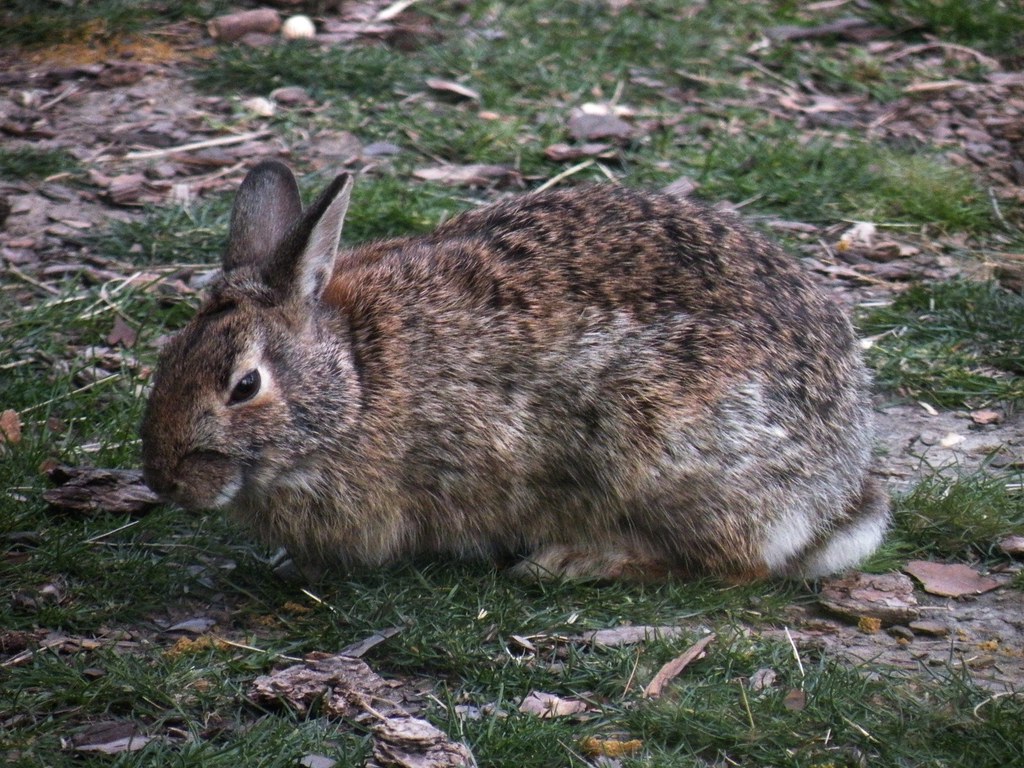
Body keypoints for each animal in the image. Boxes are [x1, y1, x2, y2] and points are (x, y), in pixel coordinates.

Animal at [140, 160, 889, 583]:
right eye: (167, 358)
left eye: (244, 386)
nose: (166, 482)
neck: (355, 380)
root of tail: (838, 494)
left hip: (665, 441)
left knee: (729, 563)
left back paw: (573, 562)